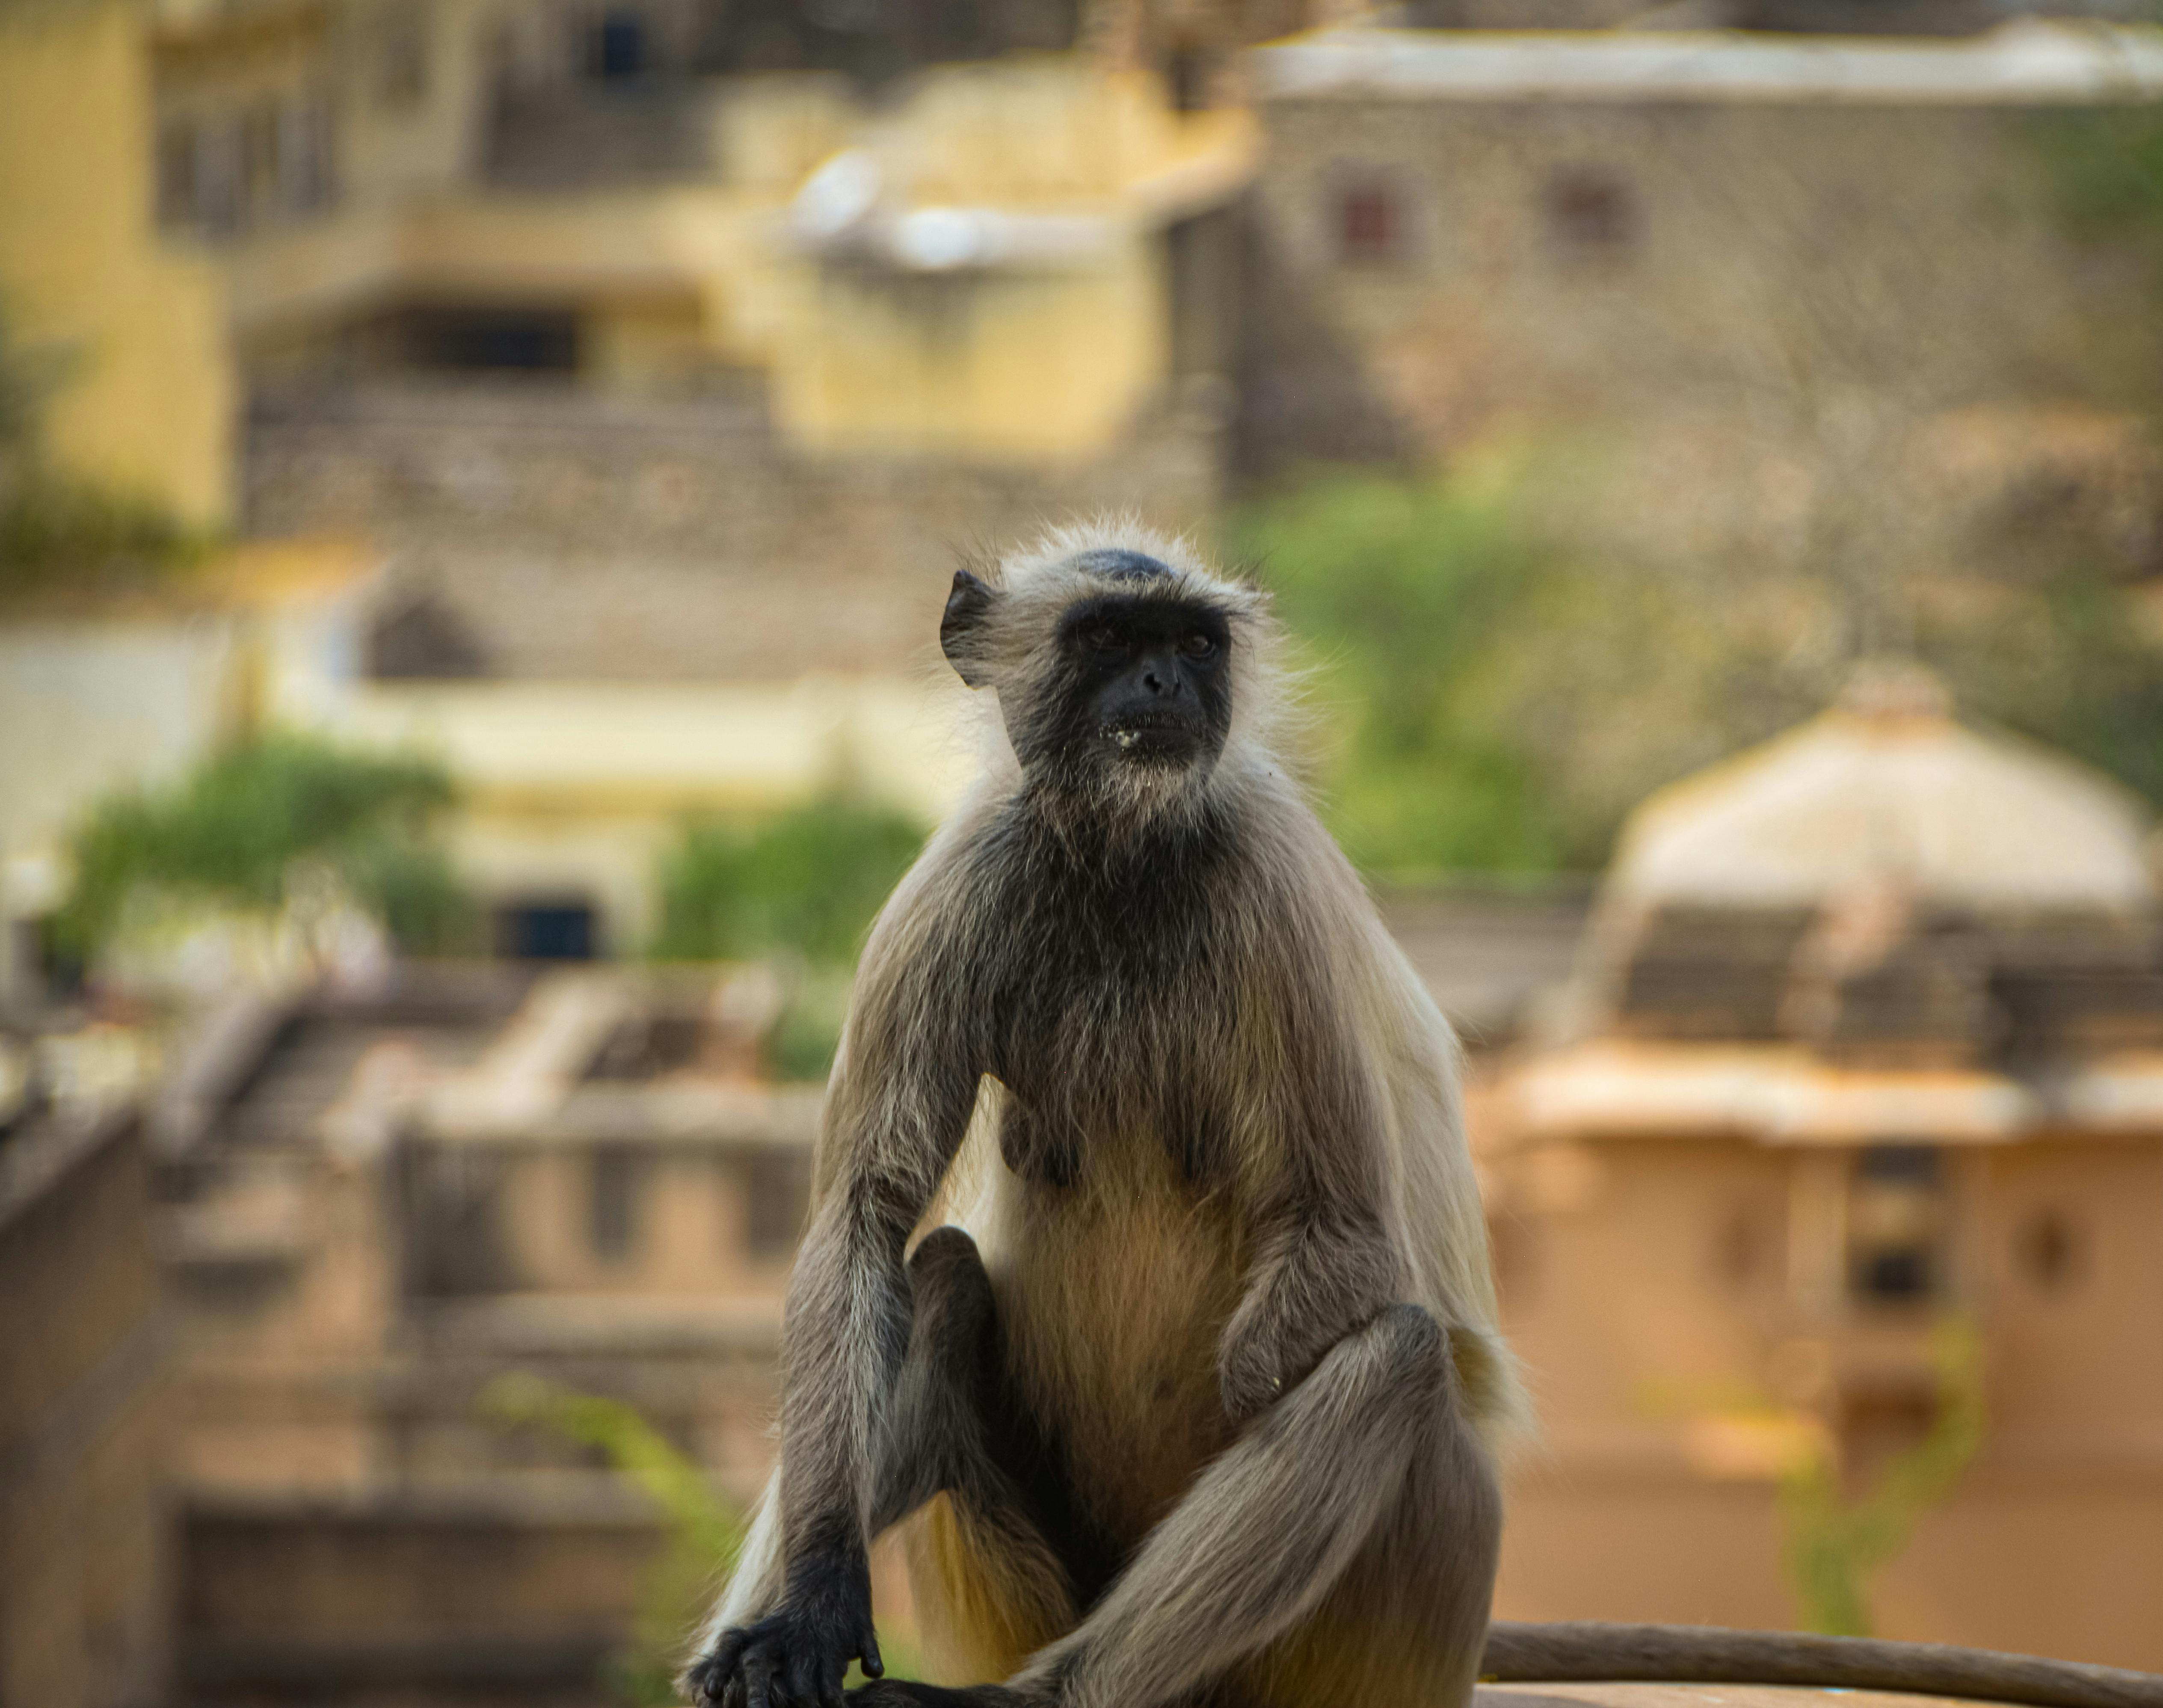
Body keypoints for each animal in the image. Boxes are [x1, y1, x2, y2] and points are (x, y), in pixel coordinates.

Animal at [683, 523, 1531, 1708]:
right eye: (1107, 639)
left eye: (1191, 642)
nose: (1163, 684)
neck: (1121, 859)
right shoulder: (961, 883)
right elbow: (863, 1216)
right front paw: (808, 1606)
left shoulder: (1269, 879)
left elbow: (1346, 1239)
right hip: (1016, 1581)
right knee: (940, 1270)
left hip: (1391, 1618)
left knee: (1398, 1355)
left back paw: (1033, 1698)